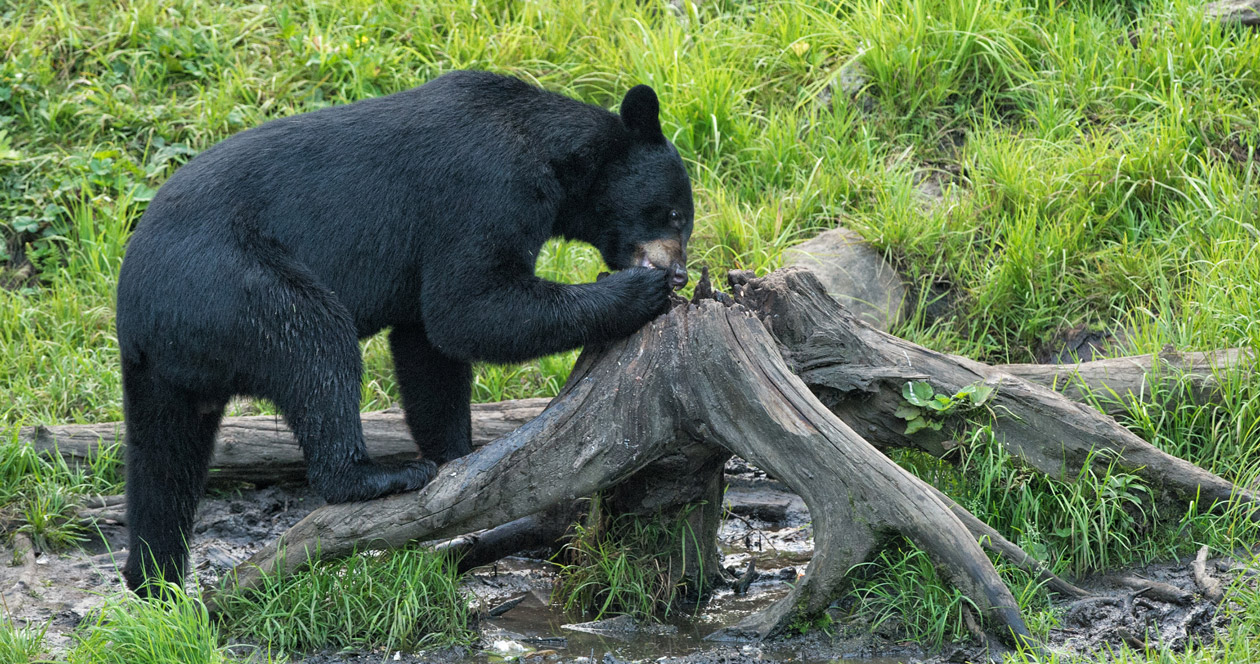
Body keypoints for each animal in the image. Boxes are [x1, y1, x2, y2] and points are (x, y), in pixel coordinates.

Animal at [115, 70, 694, 595]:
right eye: (673, 214)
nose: (681, 272)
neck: (551, 154)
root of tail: (136, 310)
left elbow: (428, 348)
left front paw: (459, 459)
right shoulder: (486, 189)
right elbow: (469, 306)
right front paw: (635, 292)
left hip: (170, 366)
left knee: (164, 460)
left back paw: (155, 579)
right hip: (233, 284)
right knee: (314, 344)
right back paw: (374, 478)